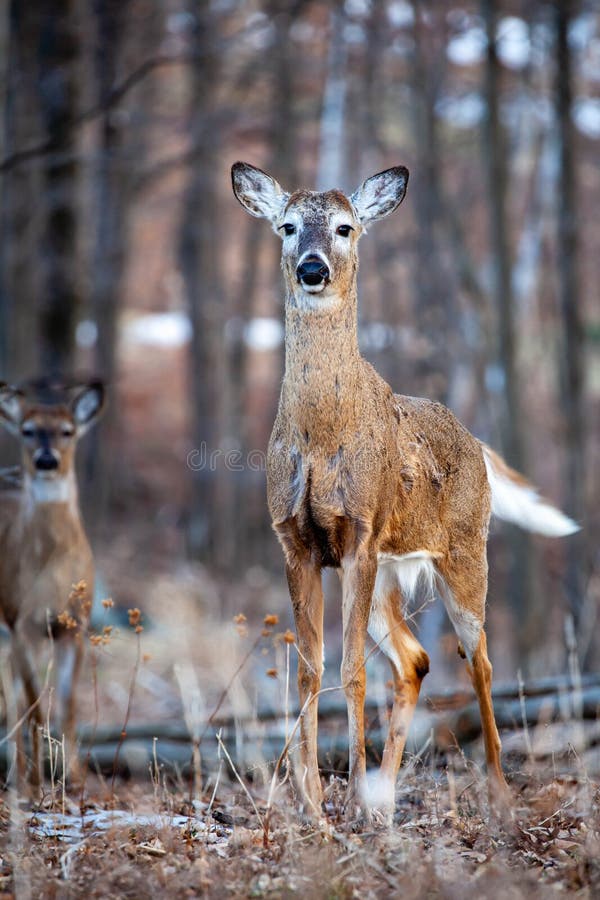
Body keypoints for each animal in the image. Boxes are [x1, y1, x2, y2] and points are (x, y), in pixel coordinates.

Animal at [0, 378, 104, 792]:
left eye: (68, 431)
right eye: (28, 430)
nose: (47, 460)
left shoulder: (73, 625)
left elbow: (67, 706)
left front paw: (74, 779)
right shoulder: (21, 623)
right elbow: (33, 705)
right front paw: (35, 782)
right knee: (12, 700)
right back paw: (18, 777)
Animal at [231, 161, 579, 822]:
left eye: (345, 226)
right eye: (287, 225)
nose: (312, 267)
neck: (322, 435)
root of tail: (476, 441)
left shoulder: (360, 535)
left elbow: (351, 673)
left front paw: (342, 802)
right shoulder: (297, 542)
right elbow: (310, 670)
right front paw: (313, 805)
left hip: (465, 554)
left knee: (480, 659)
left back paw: (498, 792)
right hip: (391, 572)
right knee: (415, 660)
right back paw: (385, 797)